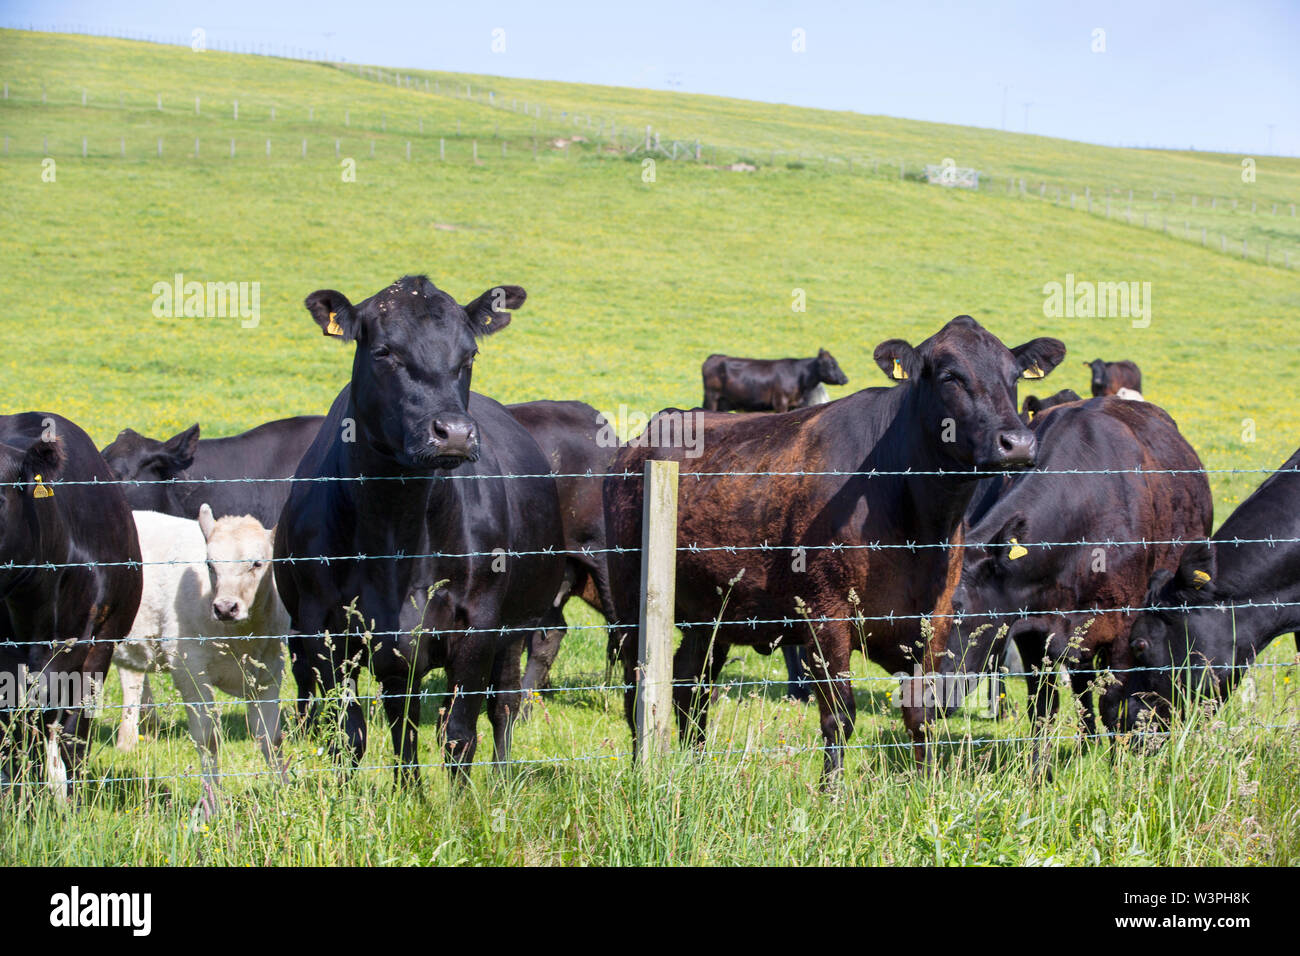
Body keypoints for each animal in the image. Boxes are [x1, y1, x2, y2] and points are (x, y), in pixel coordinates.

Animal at [113, 506, 289, 809]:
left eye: (256, 564)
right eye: (210, 565)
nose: (225, 608)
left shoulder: (268, 670)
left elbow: (270, 736)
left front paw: (285, 790)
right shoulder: (189, 668)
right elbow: (208, 738)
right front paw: (213, 800)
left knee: (132, 677)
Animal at [274, 275, 566, 782]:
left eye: (470, 355)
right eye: (384, 352)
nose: (454, 433)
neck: (397, 526)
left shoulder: (478, 625)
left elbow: (458, 736)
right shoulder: (322, 629)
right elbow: (349, 737)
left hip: (517, 623)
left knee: (504, 704)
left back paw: (503, 781)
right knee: (401, 722)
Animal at [948, 398, 1212, 755]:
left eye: (959, 608)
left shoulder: (1124, 628)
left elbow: (1114, 704)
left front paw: (1119, 761)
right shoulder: (1032, 631)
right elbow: (1043, 707)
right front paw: (1040, 767)